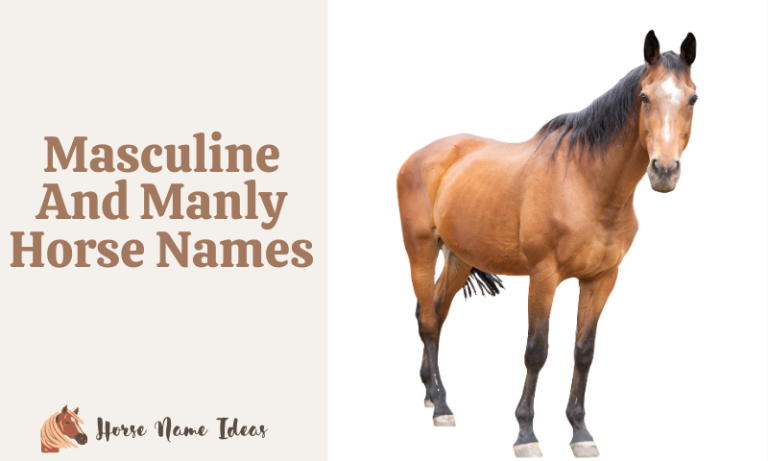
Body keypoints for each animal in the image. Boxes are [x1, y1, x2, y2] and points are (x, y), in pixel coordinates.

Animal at [396, 30, 697, 458]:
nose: (664, 170)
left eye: (692, 98)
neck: (588, 184)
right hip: (419, 251)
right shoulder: (543, 277)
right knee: (425, 320)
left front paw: (580, 431)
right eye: (644, 96)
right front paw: (526, 433)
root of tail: (422, 156)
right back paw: (441, 406)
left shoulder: (602, 279)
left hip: (458, 258)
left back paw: (431, 392)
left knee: (436, 313)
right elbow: (536, 351)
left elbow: (584, 351)